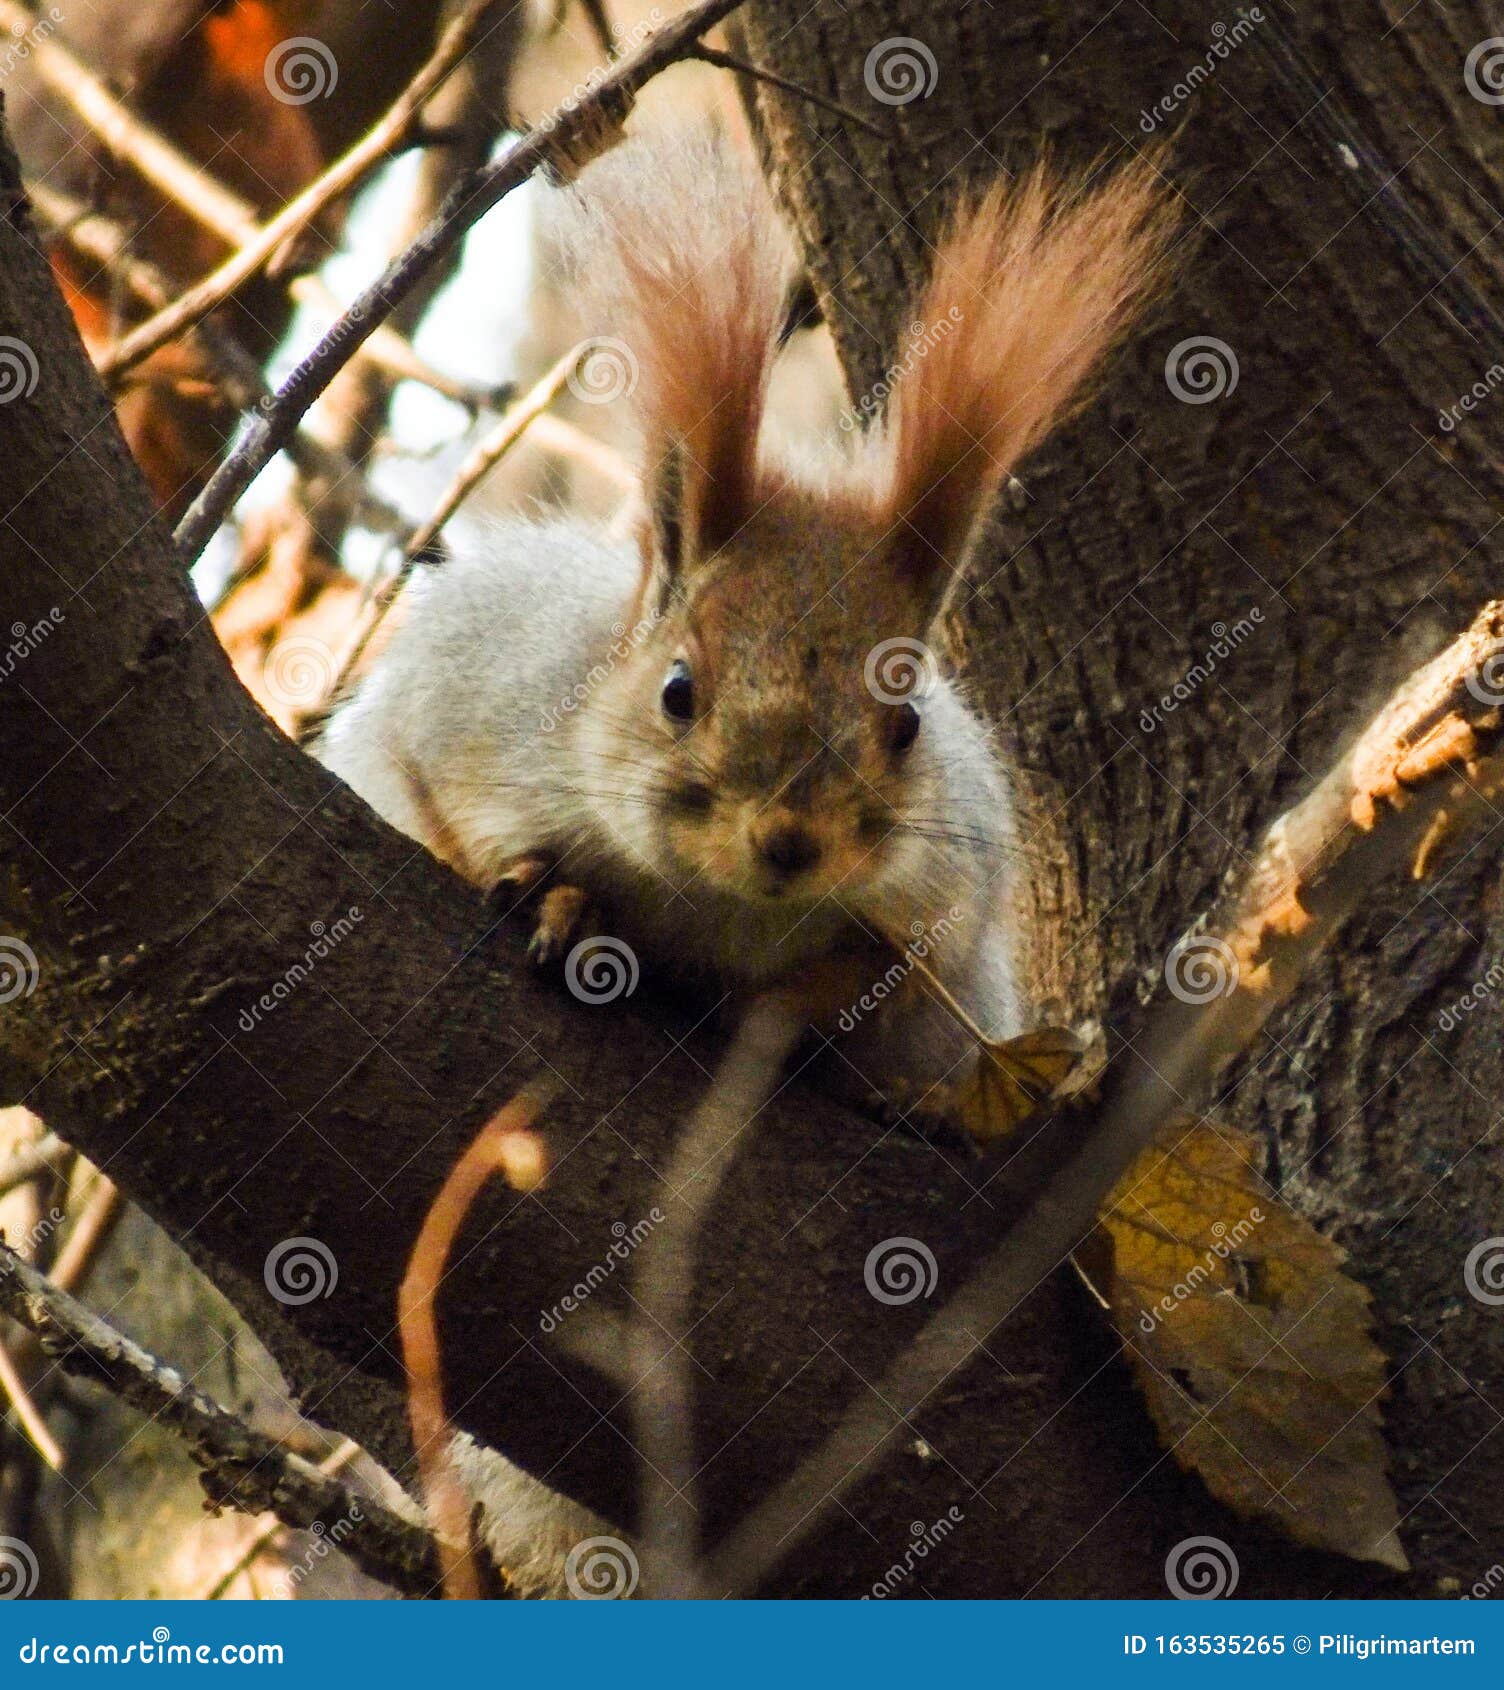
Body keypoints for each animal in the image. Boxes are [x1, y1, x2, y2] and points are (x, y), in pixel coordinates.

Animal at [312, 129, 1174, 1117]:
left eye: (907, 724)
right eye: (677, 692)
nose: (790, 841)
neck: (720, 902)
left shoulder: (949, 893)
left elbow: (883, 970)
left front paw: (795, 1002)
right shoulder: (468, 700)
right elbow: (455, 821)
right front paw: (561, 899)